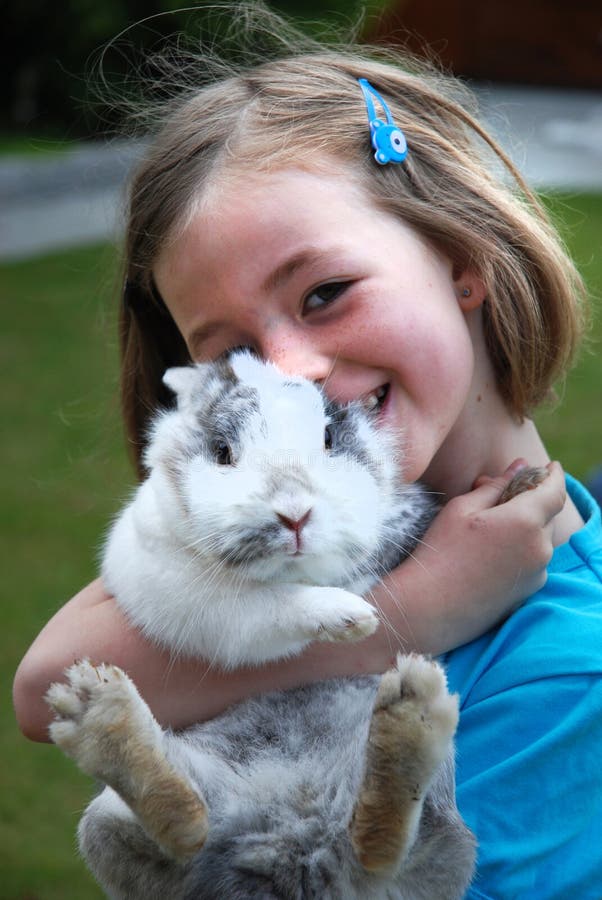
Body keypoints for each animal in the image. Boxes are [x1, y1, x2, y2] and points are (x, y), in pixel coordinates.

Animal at [46, 349, 477, 900]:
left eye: (329, 438)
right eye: (222, 451)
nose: (294, 515)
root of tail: (299, 858)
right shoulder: (178, 585)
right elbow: (267, 609)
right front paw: (348, 616)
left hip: (440, 823)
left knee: (380, 851)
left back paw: (407, 720)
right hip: (109, 822)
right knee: (186, 827)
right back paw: (99, 712)